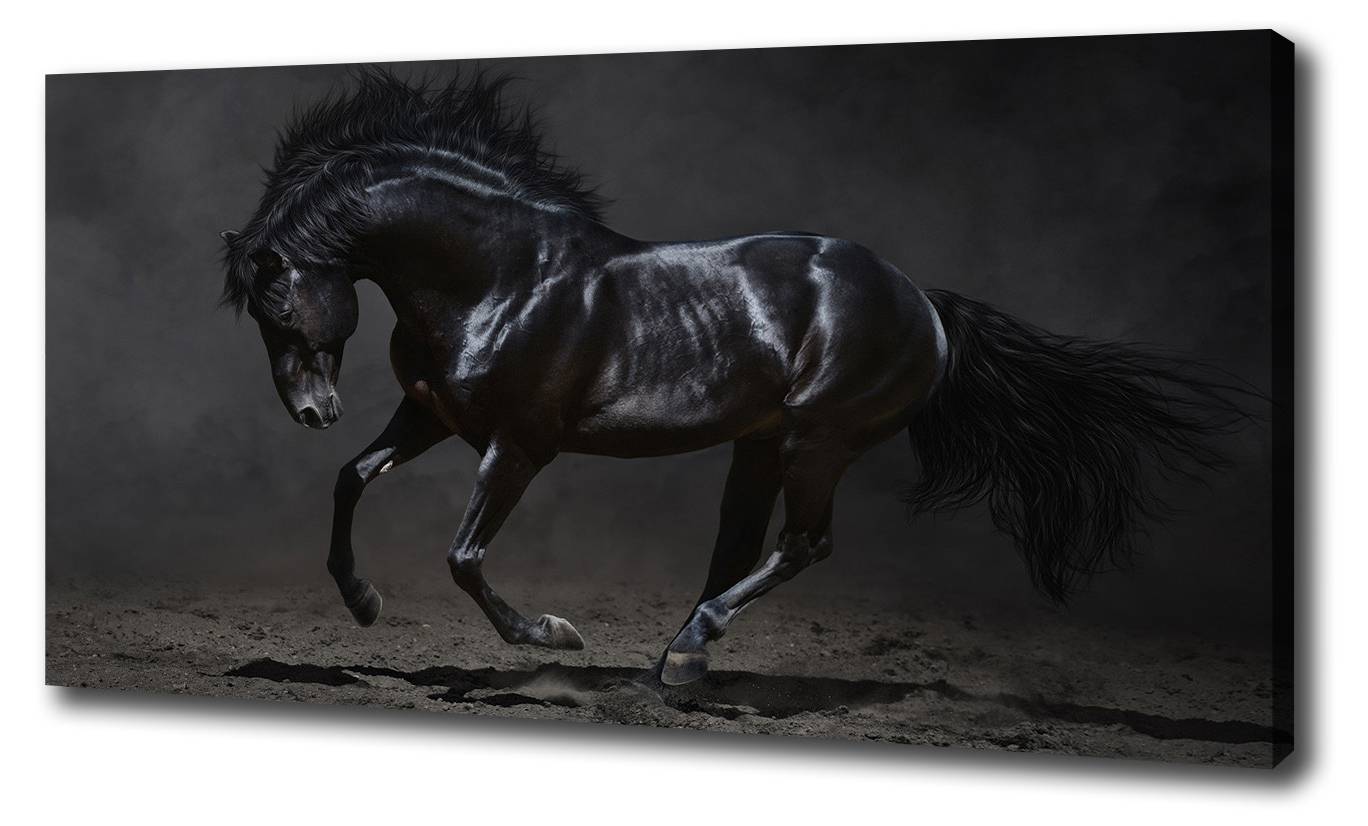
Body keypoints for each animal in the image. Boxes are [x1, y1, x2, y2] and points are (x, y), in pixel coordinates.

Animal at [220, 70, 1245, 685]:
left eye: (279, 306)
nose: (311, 409)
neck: (503, 278)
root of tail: (922, 301)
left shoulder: (520, 445)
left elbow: (464, 557)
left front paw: (552, 635)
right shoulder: (428, 414)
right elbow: (352, 478)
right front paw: (362, 603)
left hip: (818, 440)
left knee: (802, 545)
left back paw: (687, 653)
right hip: (760, 443)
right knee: (741, 545)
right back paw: (677, 660)